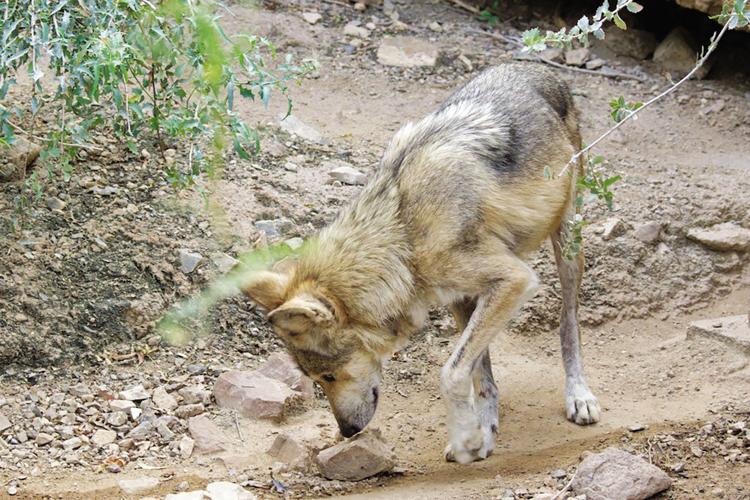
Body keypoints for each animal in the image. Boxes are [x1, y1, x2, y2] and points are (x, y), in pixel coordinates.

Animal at [240, 63, 601, 464]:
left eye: (329, 377)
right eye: (317, 380)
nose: (347, 432)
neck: (404, 236)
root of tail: (533, 67)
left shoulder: (514, 280)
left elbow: (452, 372)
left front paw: (465, 438)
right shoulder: (466, 296)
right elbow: (478, 373)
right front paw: (480, 434)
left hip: (568, 244)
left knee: (569, 322)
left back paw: (578, 395)